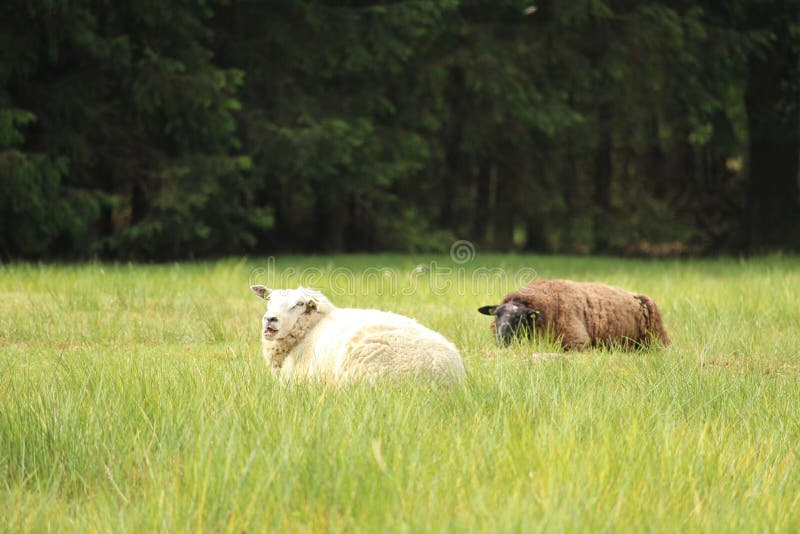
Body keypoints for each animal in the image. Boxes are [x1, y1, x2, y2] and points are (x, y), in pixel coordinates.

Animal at [478, 279, 670, 350]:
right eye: (496, 315)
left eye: (520, 318)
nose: (502, 338)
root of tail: (637, 296)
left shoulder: (577, 342)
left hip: (655, 339)